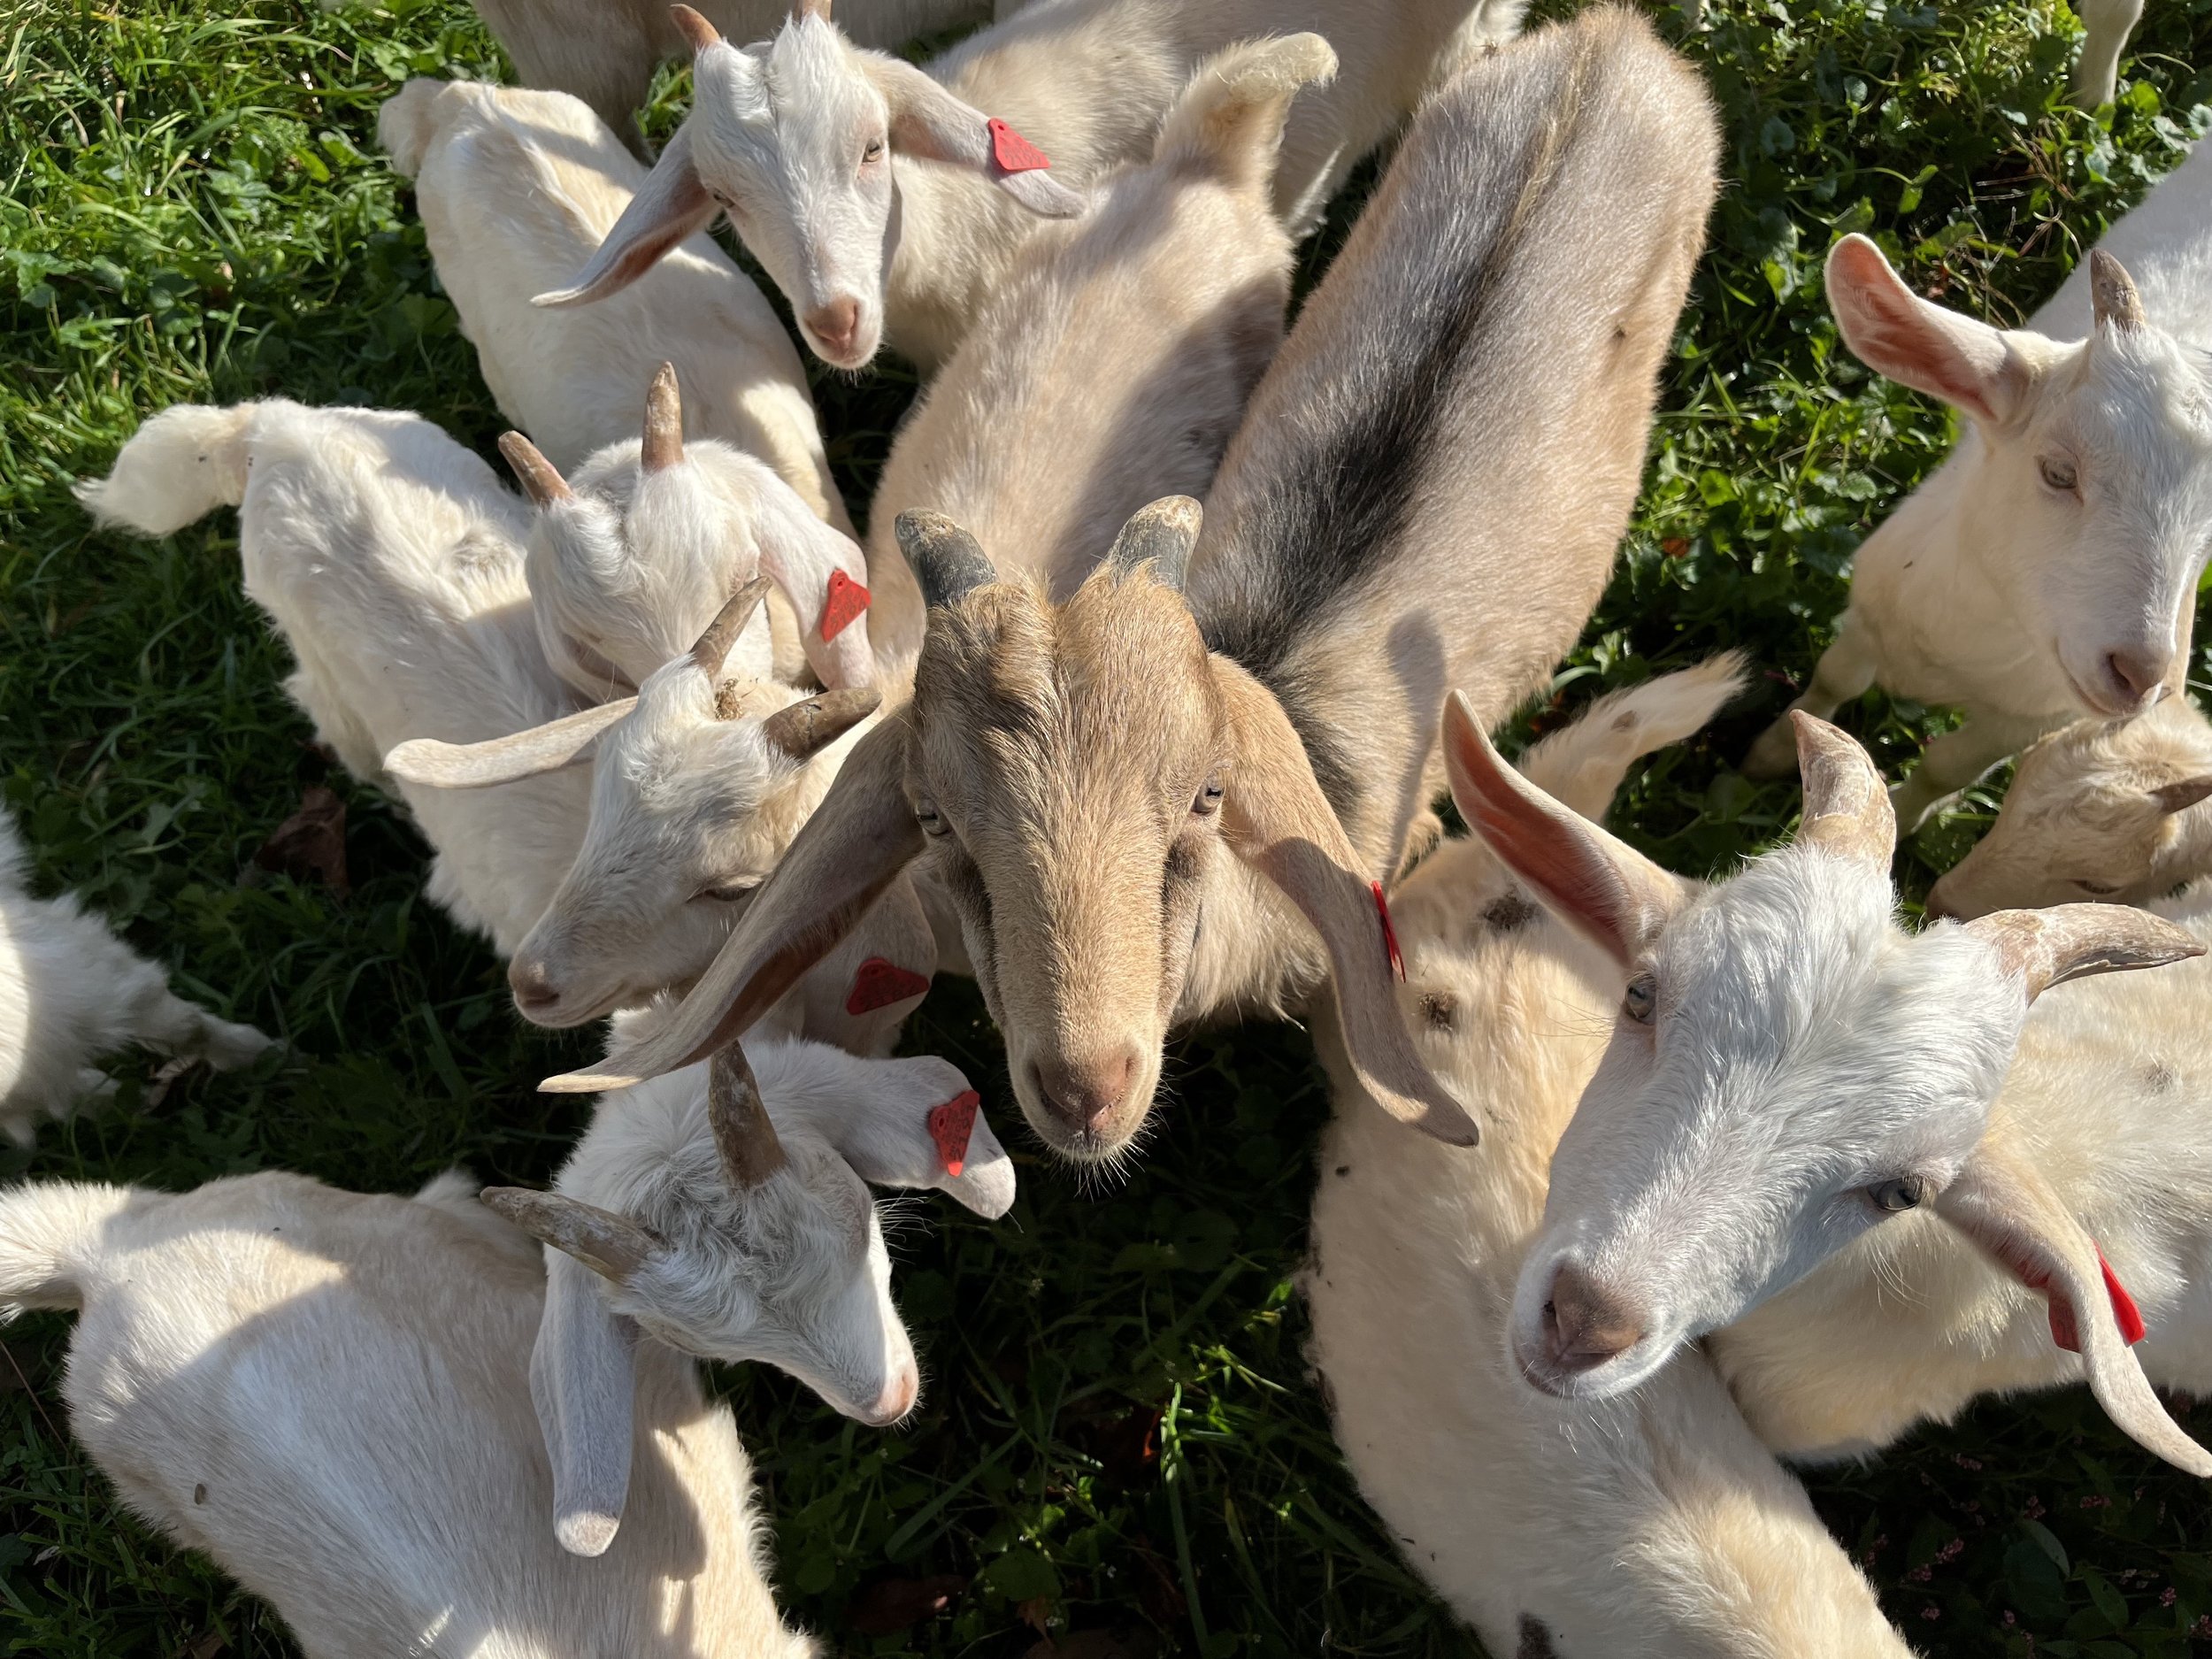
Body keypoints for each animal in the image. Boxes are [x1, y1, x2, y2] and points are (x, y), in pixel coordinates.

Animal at [1743, 136, 2212, 830]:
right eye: (2058, 472)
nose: (2138, 674)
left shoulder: (2027, 717)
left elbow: (1945, 767)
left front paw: (1909, 817)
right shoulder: (1871, 612)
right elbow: (1831, 681)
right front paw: (1766, 758)